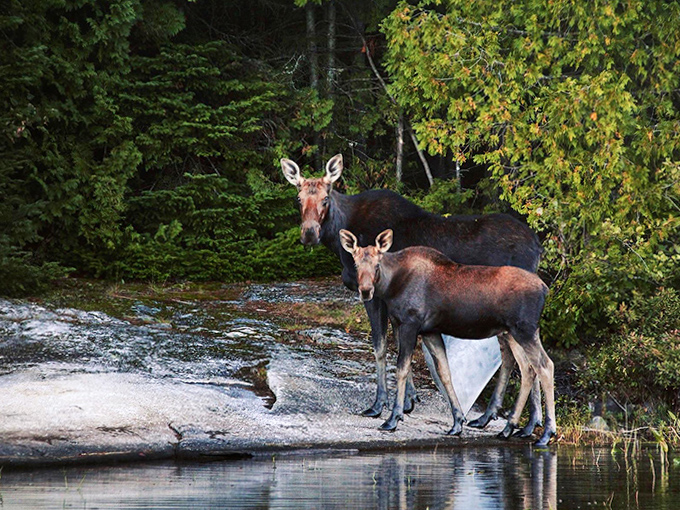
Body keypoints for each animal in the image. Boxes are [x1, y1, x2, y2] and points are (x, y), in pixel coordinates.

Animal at [339, 229, 556, 447]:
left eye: (377, 265)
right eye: (356, 264)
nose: (365, 291)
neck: (392, 285)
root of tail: (545, 288)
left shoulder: (410, 323)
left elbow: (401, 369)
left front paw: (393, 418)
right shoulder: (430, 331)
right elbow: (444, 372)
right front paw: (458, 421)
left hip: (524, 330)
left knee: (545, 366)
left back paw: (546, 433)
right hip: (513, 332)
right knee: (527, 368)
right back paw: (509, 427)